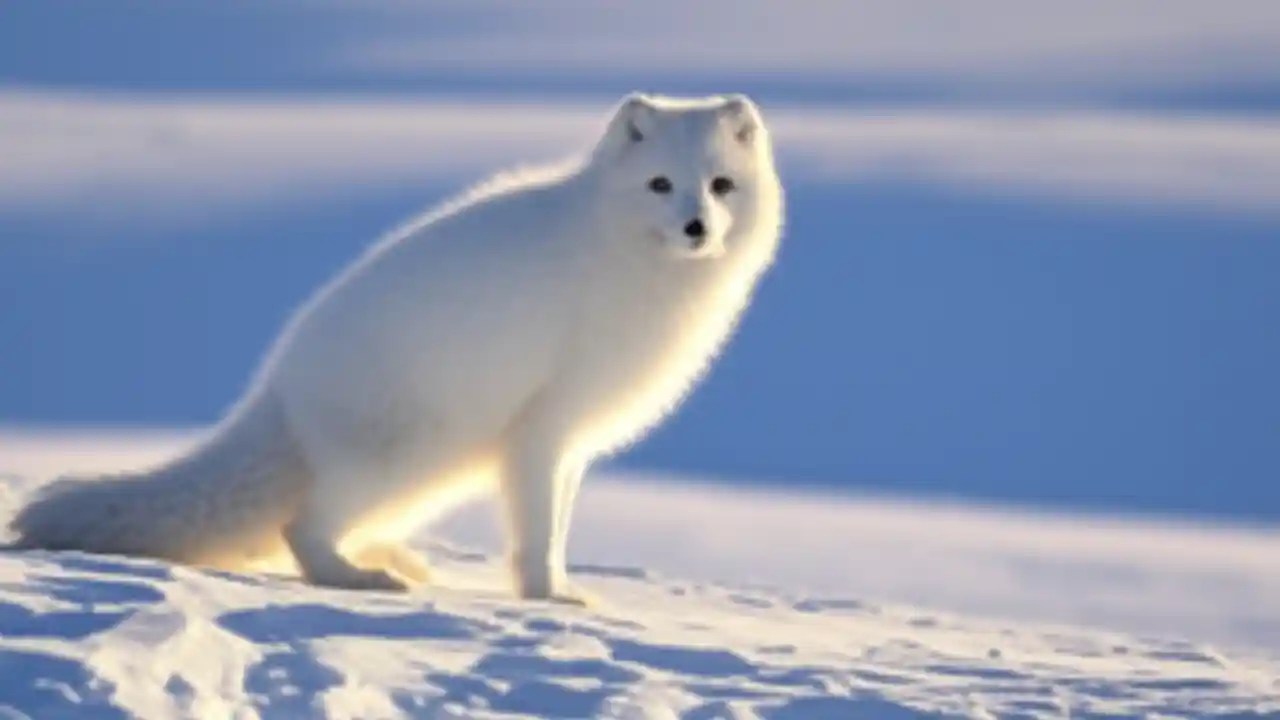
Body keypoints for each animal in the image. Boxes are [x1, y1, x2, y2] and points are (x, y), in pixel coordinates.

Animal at [10, 93, 784, 602]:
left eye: (721, 185)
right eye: (660, 184)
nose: (696, 226)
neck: (625, 257)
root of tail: (282, 381)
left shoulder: (576, 442)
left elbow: (559, 521)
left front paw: (558, 589)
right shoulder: (542, 428)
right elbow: (538, 529)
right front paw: (547, 597)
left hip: (434, 471)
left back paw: (392, 559)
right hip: (402, 454)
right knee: (300, 527)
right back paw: (360, 577)